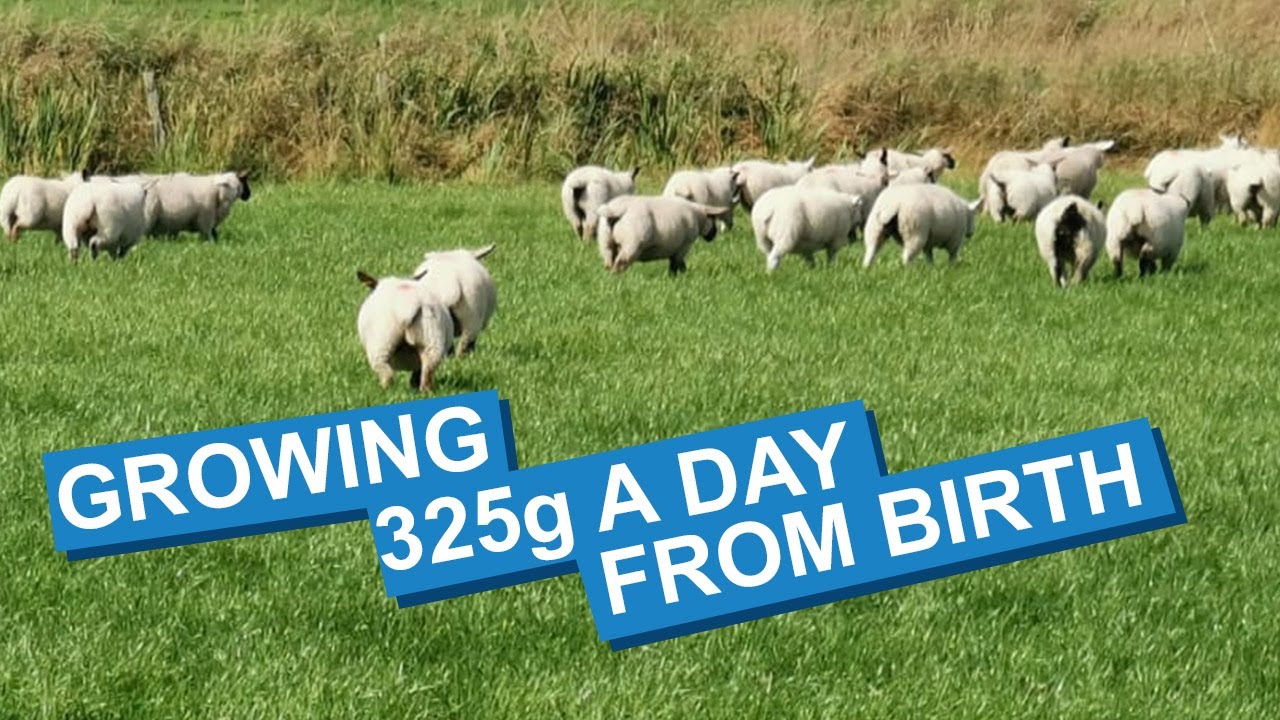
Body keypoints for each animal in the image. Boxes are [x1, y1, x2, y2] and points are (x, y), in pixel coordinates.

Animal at [117, 172, 251, 241]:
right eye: (244, 181)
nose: (249, 195)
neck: (218, 192)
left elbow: (213, 233)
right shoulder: (206, 218)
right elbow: (209, 234)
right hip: (148, 214)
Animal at [595, 195, 725, 275]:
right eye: (713, 218)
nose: (713, 235)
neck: (698, 217)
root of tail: (615, 210)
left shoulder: (674, 248)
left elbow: (675, 264)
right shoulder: (684, 246)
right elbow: (678, 264)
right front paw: (682, 276)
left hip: (605, 242)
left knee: (609, 262)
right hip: (631, 243)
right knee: (620, 263)